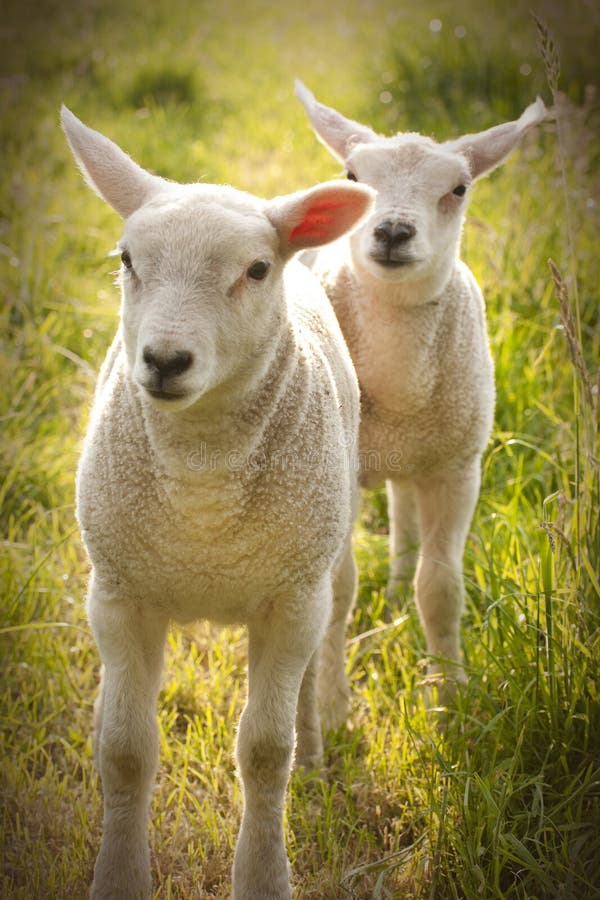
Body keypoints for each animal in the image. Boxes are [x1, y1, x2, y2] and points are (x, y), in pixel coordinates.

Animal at [61, 106, 374, 900]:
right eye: (127, 259)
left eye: (255, 269)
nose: (166, 361)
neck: (201, 478)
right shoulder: (119, 593)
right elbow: (126, 750)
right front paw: (118, 877)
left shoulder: (291, 598)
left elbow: (264, 751)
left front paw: (263, 876)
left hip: (327, 560)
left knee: (325, 643)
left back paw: (319, 741)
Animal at [295, 80, 546, 700]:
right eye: (353, 175)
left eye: (459, 188)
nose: (392, 232)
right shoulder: (340, 476)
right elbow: (338, 589)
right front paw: (333, 703)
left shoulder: (458, 468)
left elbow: (441, 589)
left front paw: (451, 694)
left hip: (418, 455)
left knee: (404, 517)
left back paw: (396, 589)